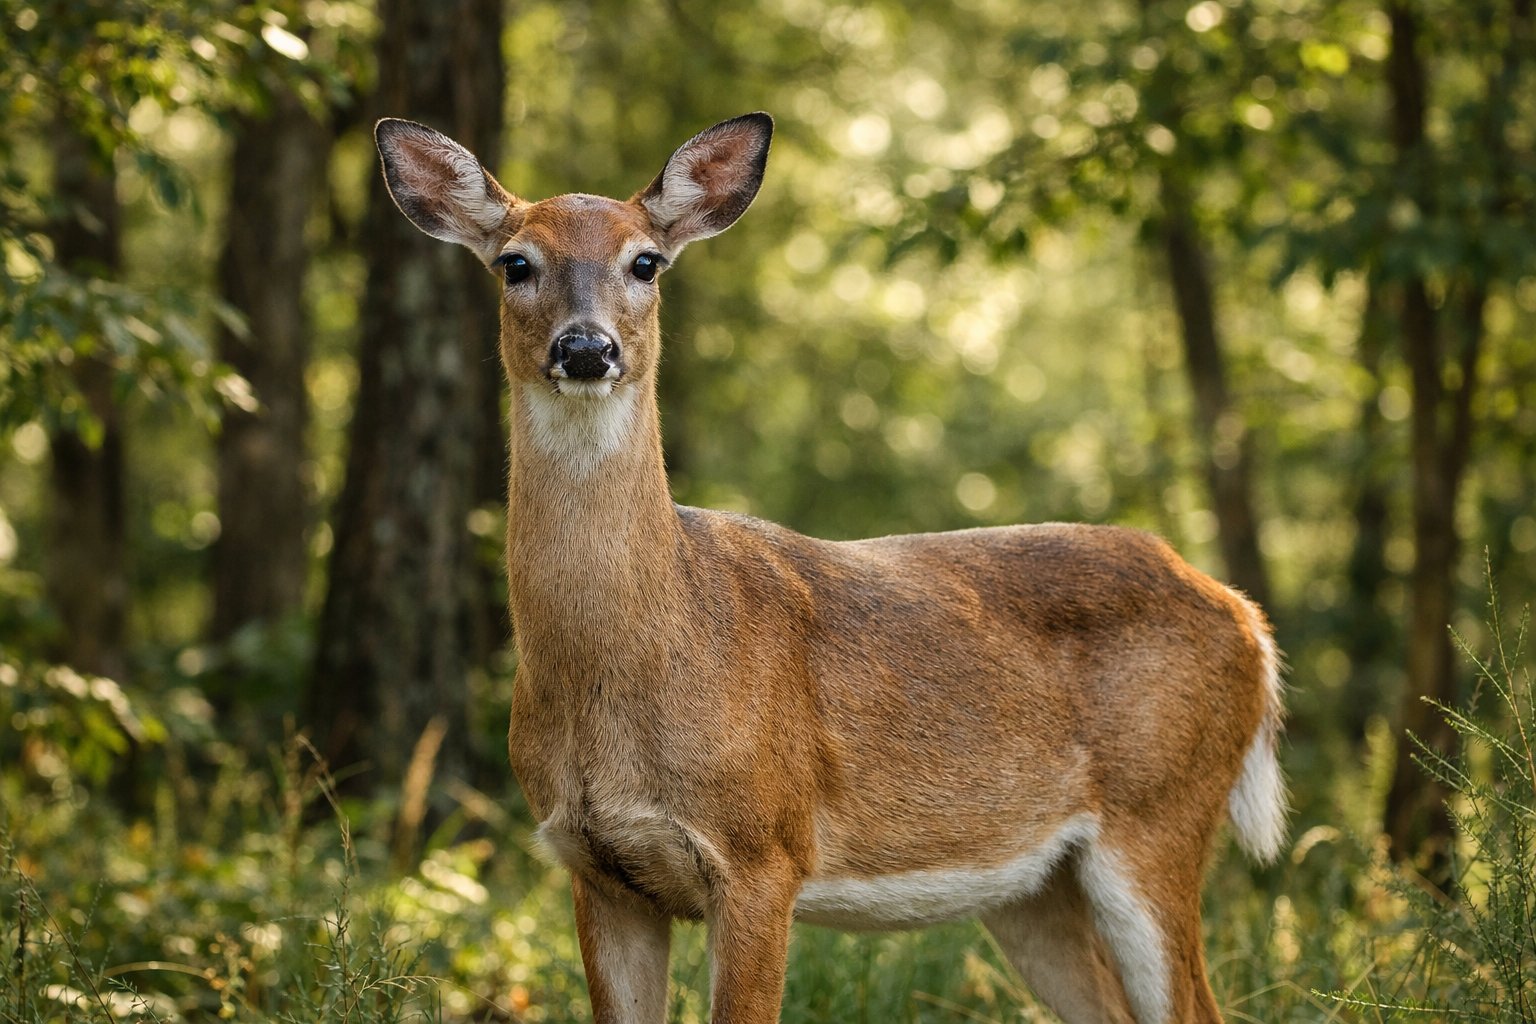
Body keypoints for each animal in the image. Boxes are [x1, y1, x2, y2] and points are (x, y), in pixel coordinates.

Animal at [373, 111, 1287, 1024]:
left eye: (645, 261)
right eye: (515, 263)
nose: (587, 348)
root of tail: (1244, 617)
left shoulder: (763, 851)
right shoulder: (594, 868)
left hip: (1158, 810)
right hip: (1035, 884)